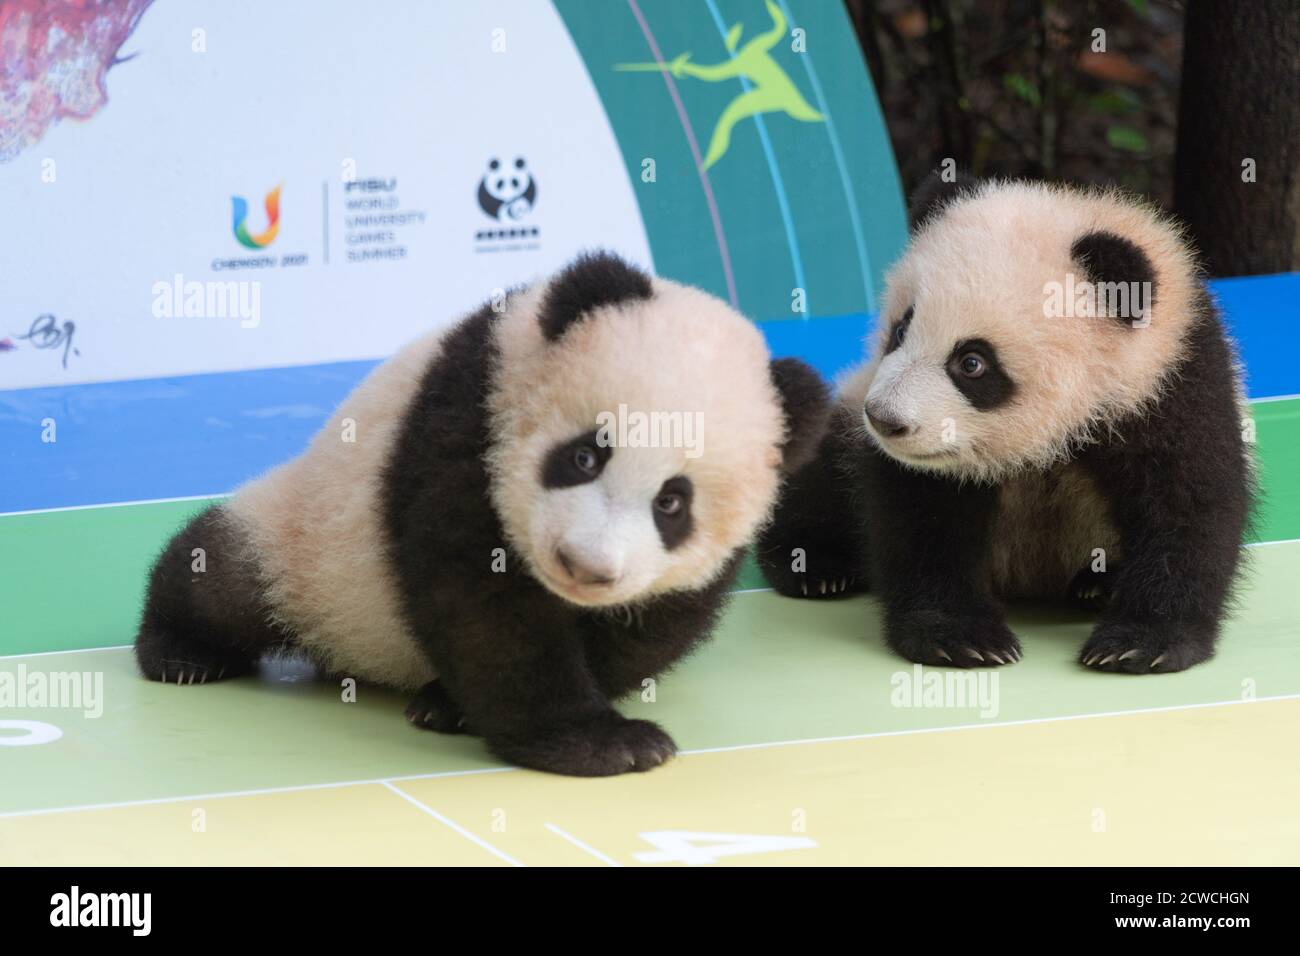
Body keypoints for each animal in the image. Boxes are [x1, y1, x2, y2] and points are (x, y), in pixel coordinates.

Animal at [135, 251, 829, 776]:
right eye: (584, 455)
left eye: (672, 503)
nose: (583, 566)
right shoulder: (468, 416)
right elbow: (484, 605)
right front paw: (603, 744)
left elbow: (645, 630)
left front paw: (453, 704)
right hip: (307, 542)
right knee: (224, 576)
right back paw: (181, 653)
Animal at [758, 178, 1254, 674]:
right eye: (900, 330)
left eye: (972, 363)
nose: (885, 420)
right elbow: (926, 520)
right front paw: (960, 638)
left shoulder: (1171, 384)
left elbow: (1187, 506)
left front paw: (1140, 643)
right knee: (820, 474)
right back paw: (815, 565)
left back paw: (1097, 584)